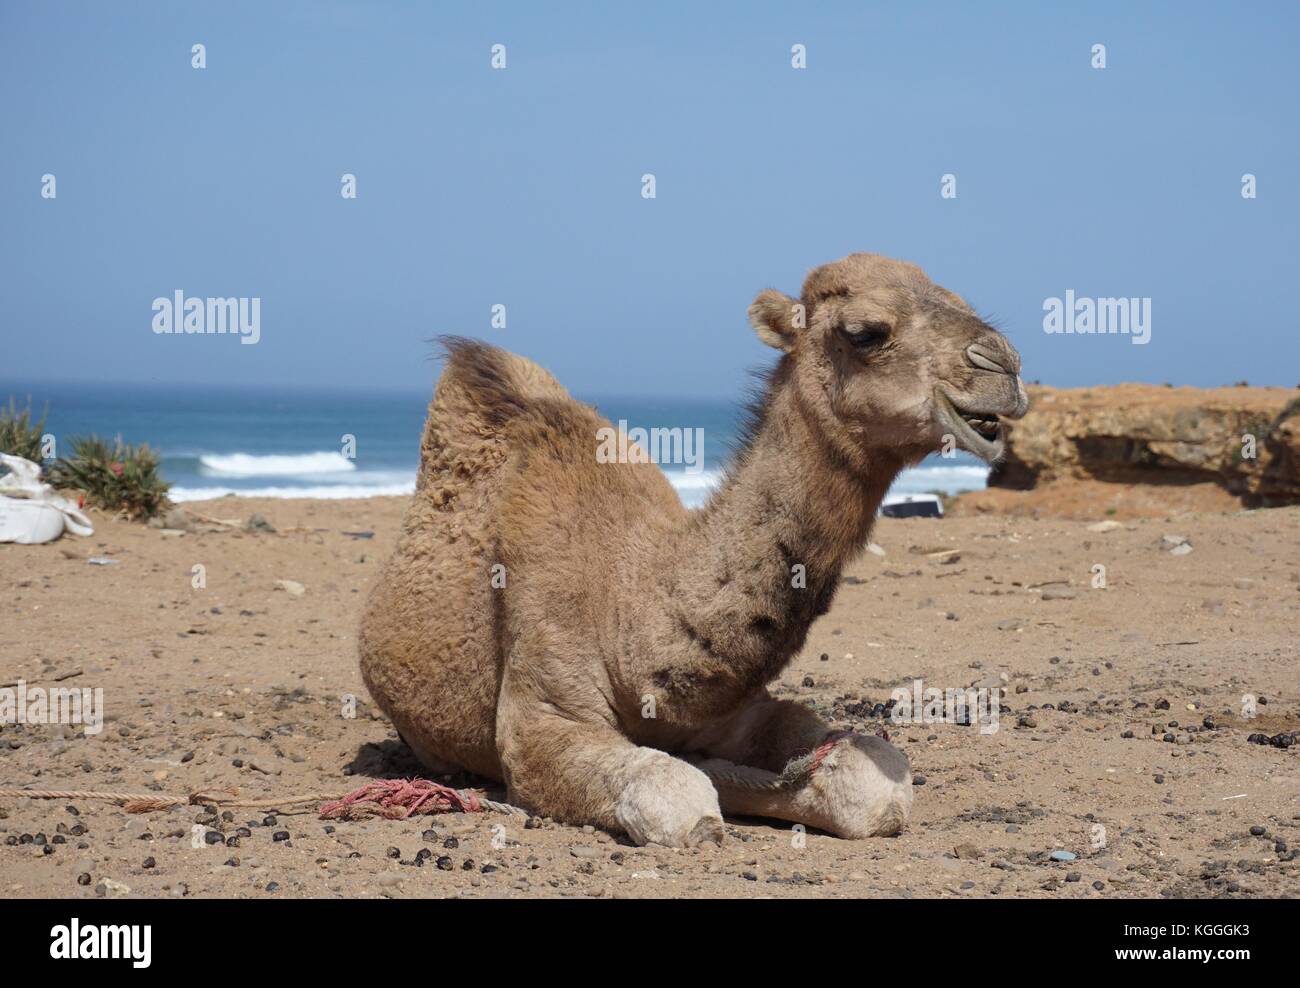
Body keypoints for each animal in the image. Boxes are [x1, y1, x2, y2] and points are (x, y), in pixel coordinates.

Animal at [359, 253, 1028, 846]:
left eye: (960, 300)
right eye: (867, 332)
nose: (1005, 367)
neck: (628, 609)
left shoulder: (738, 709)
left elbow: (875, 785)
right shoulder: (541, 715)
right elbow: (680, 799)